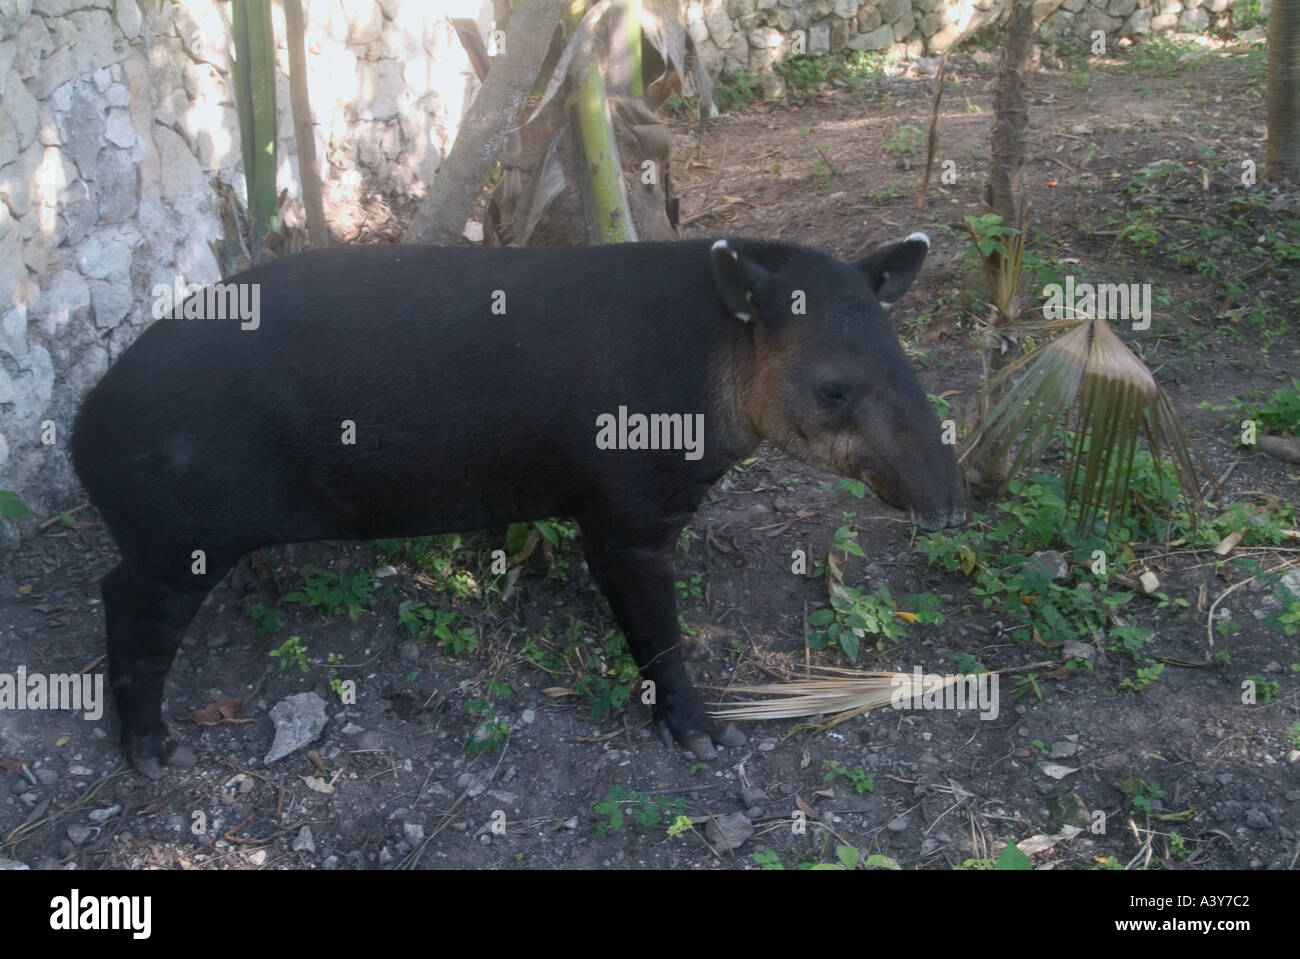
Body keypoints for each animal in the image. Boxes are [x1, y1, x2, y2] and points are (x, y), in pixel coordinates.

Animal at [71, 234, 964, 777]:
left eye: (906, 361)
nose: (949, 505)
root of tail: (84, 418)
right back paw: (150, 745)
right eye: (834, 390)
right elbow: (657, 632)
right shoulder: (631, 514)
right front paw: (700, 730)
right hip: (180, 528)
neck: (720, 352)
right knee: (137, 599)